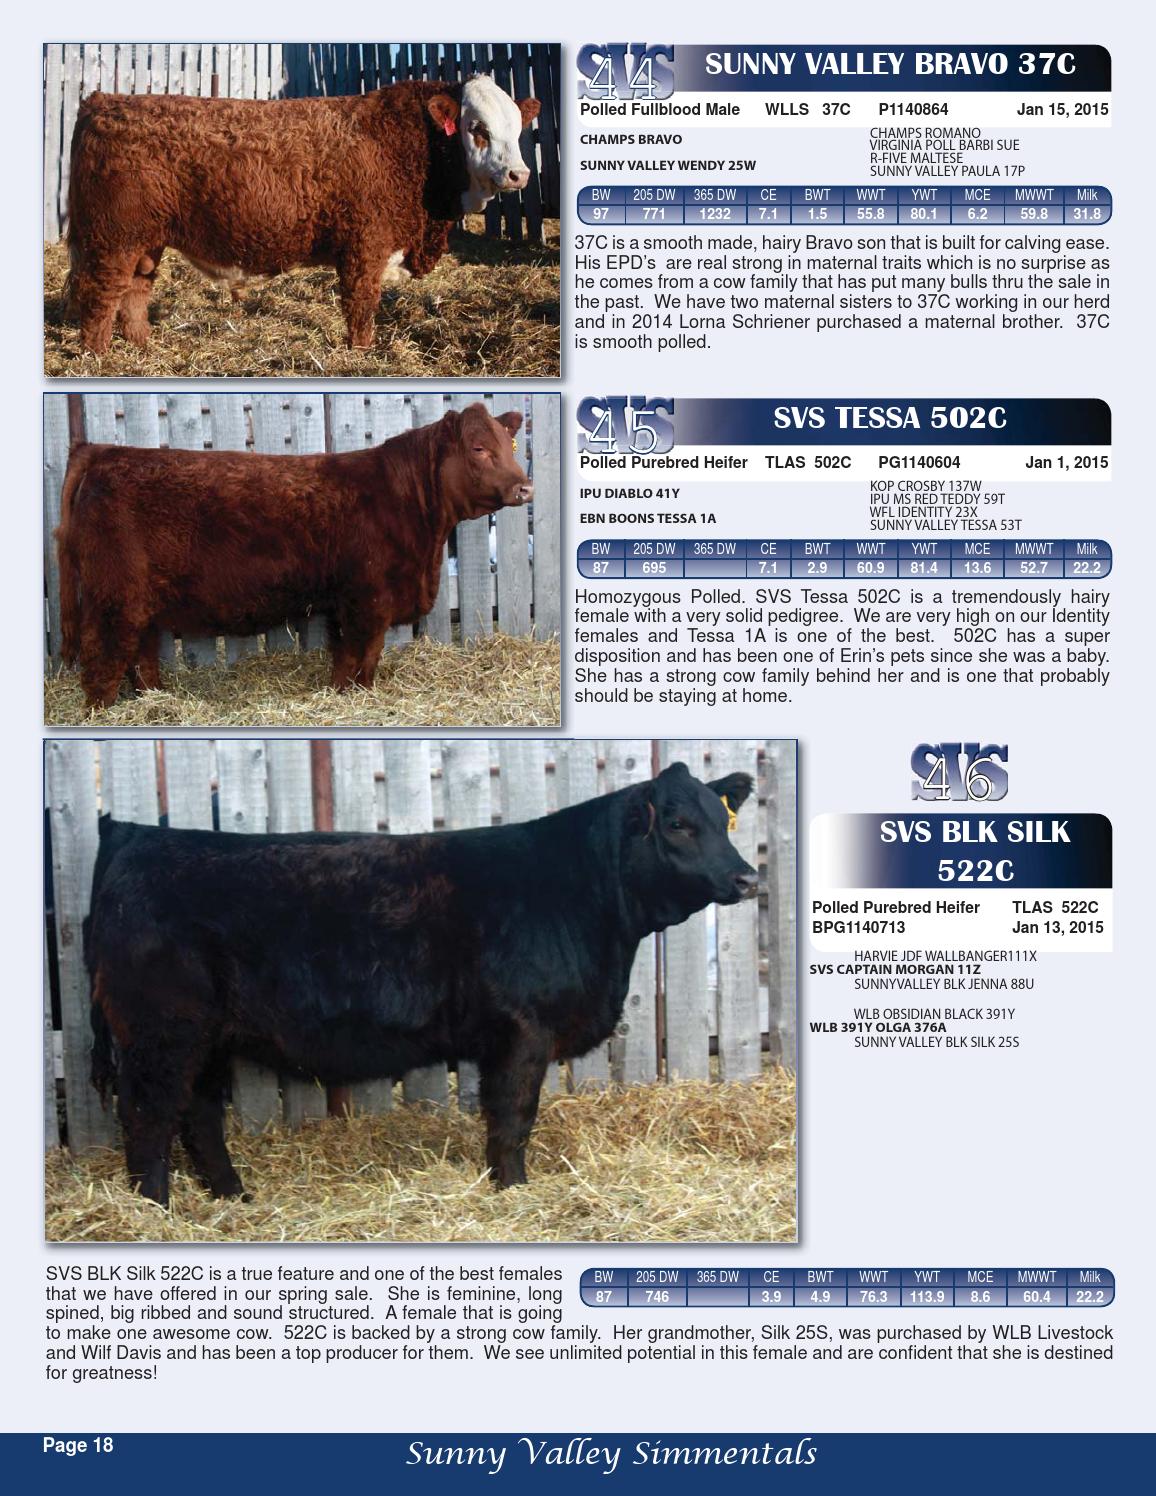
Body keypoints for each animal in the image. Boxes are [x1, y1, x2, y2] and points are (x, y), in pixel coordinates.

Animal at [54, 403, 532, 708]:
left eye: (508, 445)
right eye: (478, 448)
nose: (524, 487)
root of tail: (101, 450)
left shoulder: (343, 604)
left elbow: (345, 661)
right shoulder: (367, 601)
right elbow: (364, 659)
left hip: (138, 602)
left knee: (141, 658)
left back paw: (155, 701)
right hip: (113, 599)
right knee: (102, 664)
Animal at [64, 75, 541, 353]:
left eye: (516, 128)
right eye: (477, 129)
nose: (519, 175)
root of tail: (102, 101)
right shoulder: (365, 244)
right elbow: (361, 303)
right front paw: (360, 353)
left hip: (146, 241)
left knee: (135, 291)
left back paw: (142, 344)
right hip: (113, 239)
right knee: (101, 295)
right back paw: (98, 354)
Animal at [85, 761, 759, 1205]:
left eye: (724, 820)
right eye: (677, 823)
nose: (748, 878)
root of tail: (132, 832)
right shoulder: (523, 1031)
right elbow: (513, 1117)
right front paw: (513, 1192)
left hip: (206, 1036)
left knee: (197, 1114)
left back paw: (232, 1197)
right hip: (160, 1030)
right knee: (148, 1113)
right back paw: (153, 1209)